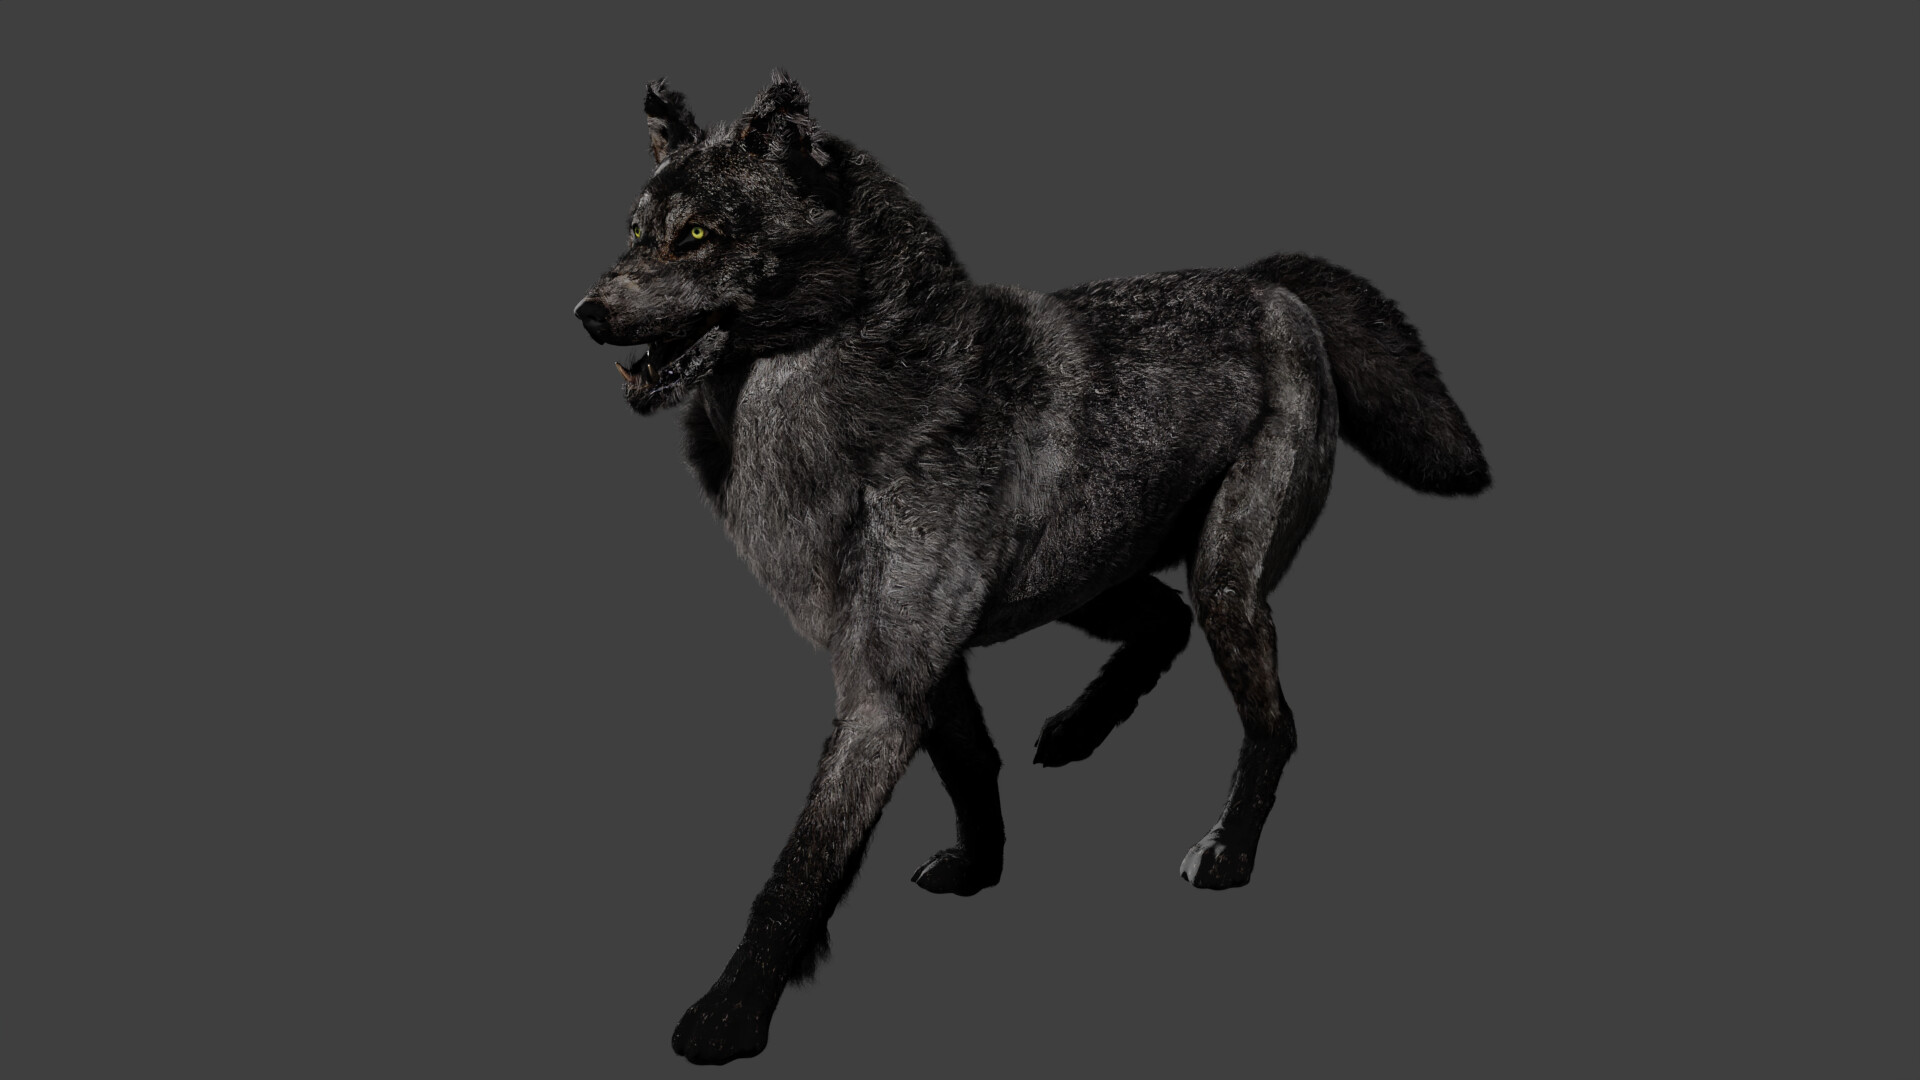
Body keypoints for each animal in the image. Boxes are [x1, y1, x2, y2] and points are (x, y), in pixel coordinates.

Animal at [573, 72, 1490, 1064]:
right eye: (637, 232)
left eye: (698, 236)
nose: (586, 313)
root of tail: (1269, 283)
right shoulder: (915, 661)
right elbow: (973, 765)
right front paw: (982, 868)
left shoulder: (883, 684)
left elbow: (804, 860)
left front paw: (729, 1016)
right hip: (1086, 580)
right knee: (1162, 622)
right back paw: (1079, 731)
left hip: (1223, 585)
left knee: (1272, 721)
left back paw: (1227, 854)